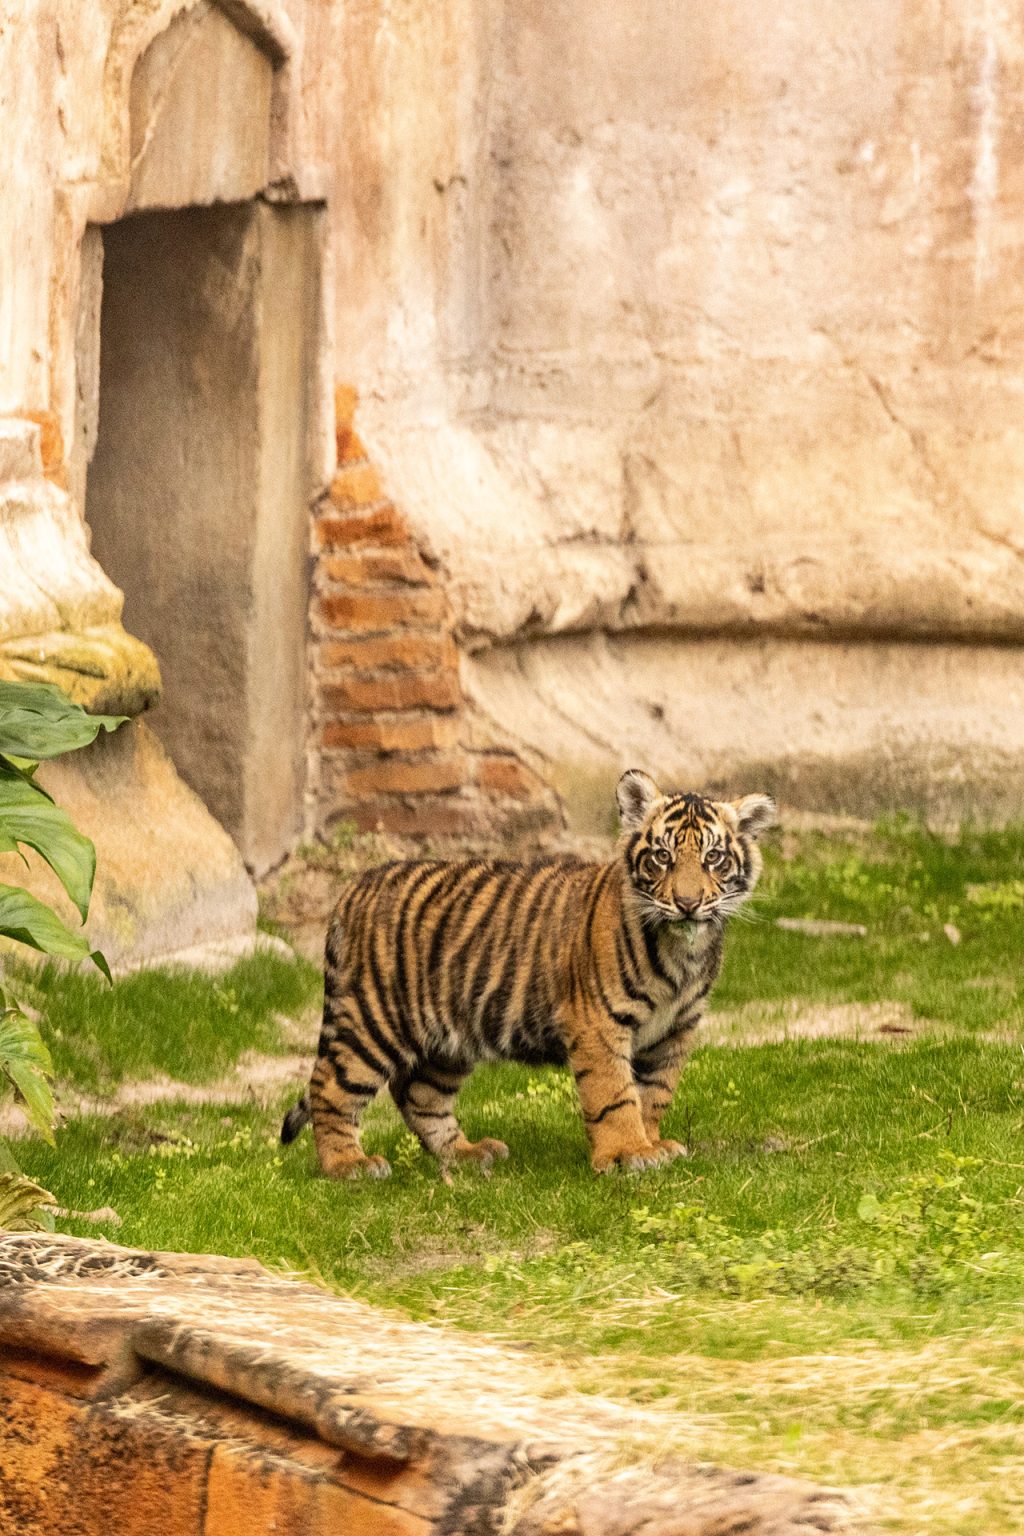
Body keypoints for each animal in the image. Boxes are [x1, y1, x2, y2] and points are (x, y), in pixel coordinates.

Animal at [280, 770, 775, 1178]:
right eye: (661, 857)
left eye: (713, 858)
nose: (688, 903)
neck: (683, 951)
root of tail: (353, 888)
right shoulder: (598, 1023)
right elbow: (615, 1094)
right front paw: (627, 1154)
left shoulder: (675, 1031)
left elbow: (654, 1094)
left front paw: (652, 1143)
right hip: (376, 1020)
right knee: (329, 1087)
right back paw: (348, 1165)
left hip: (446, 1038)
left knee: (418, 1094)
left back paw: (466, 1154)